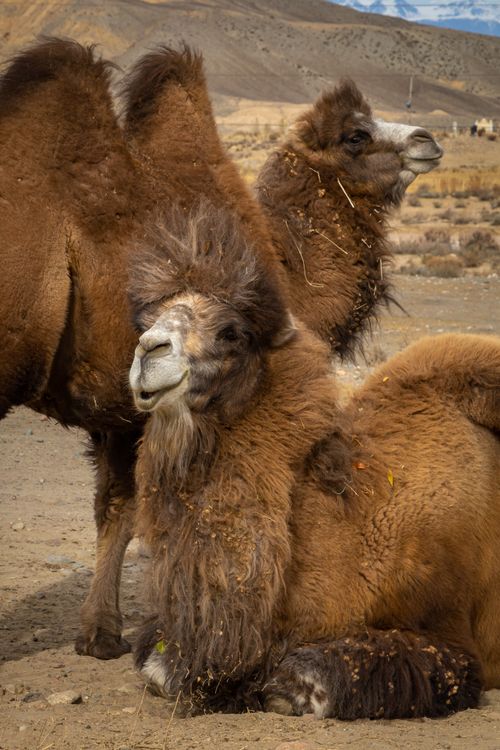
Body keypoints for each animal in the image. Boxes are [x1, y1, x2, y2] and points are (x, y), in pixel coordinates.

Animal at [130, 200, 500, 719]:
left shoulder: (451, 641)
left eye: (231, 332)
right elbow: (155, 665)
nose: (150, 349)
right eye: (149, 320)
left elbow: (295, 680)